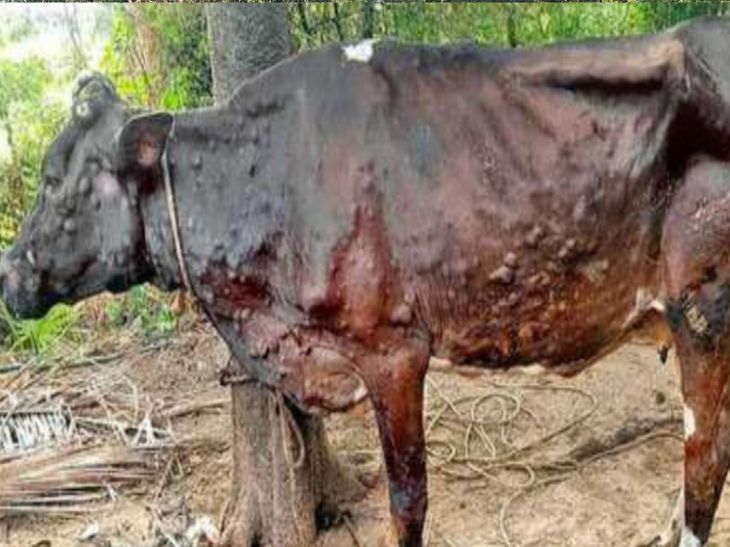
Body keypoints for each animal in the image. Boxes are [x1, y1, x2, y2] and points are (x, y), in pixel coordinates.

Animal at [4, 15, 730, 547]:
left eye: (53, 179)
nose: (9, 271)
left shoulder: (393, 348)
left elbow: (408, 499)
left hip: (703, 307)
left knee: (706, 459)